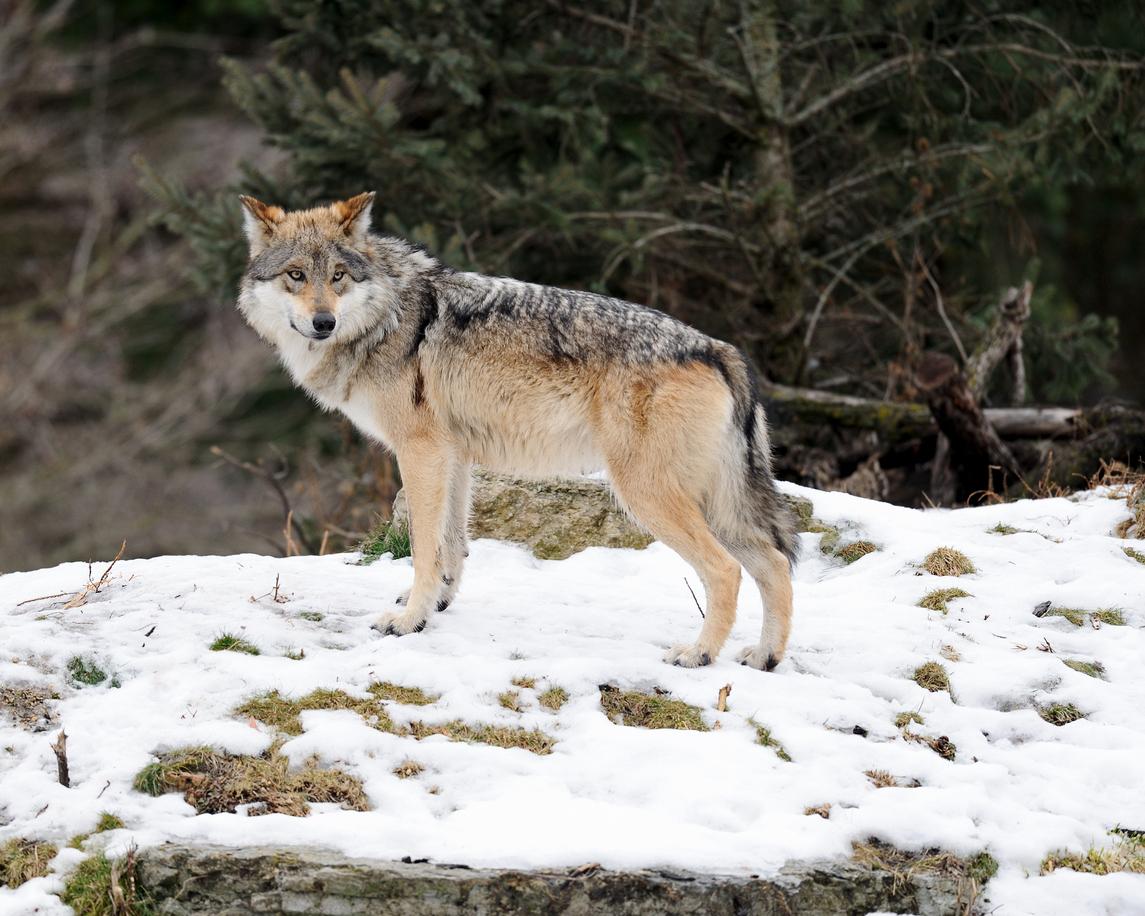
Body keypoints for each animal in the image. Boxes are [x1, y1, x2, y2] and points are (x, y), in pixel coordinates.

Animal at [237, 192, 797, 669]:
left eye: (337, 276)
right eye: (295, 275)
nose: (324, 323)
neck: (388, 315)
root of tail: (718, 349)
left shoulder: (420, 452)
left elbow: (422, 547)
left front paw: (408, 620)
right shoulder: (453, 455)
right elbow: (451, 544)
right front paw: (437, 604)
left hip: (648, 495)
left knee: (726, 570)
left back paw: (698, 654)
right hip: (713, 503)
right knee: (775, 565)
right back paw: (764, 658)